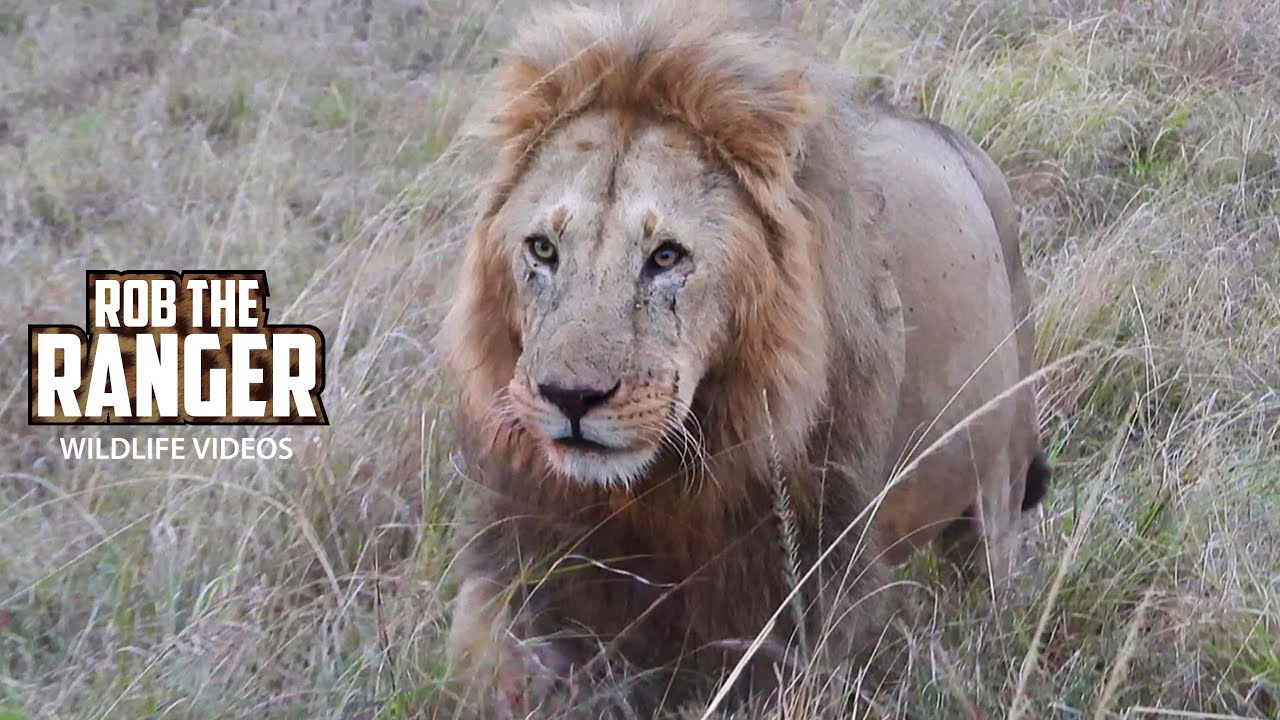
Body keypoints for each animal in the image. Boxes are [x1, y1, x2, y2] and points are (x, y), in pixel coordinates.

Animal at [440, 1, 1050, 716]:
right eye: (541, 249)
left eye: (666, 256)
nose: (570, 398)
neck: (660, 492)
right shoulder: (530, 548)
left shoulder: (805, 598)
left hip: (999, 485)